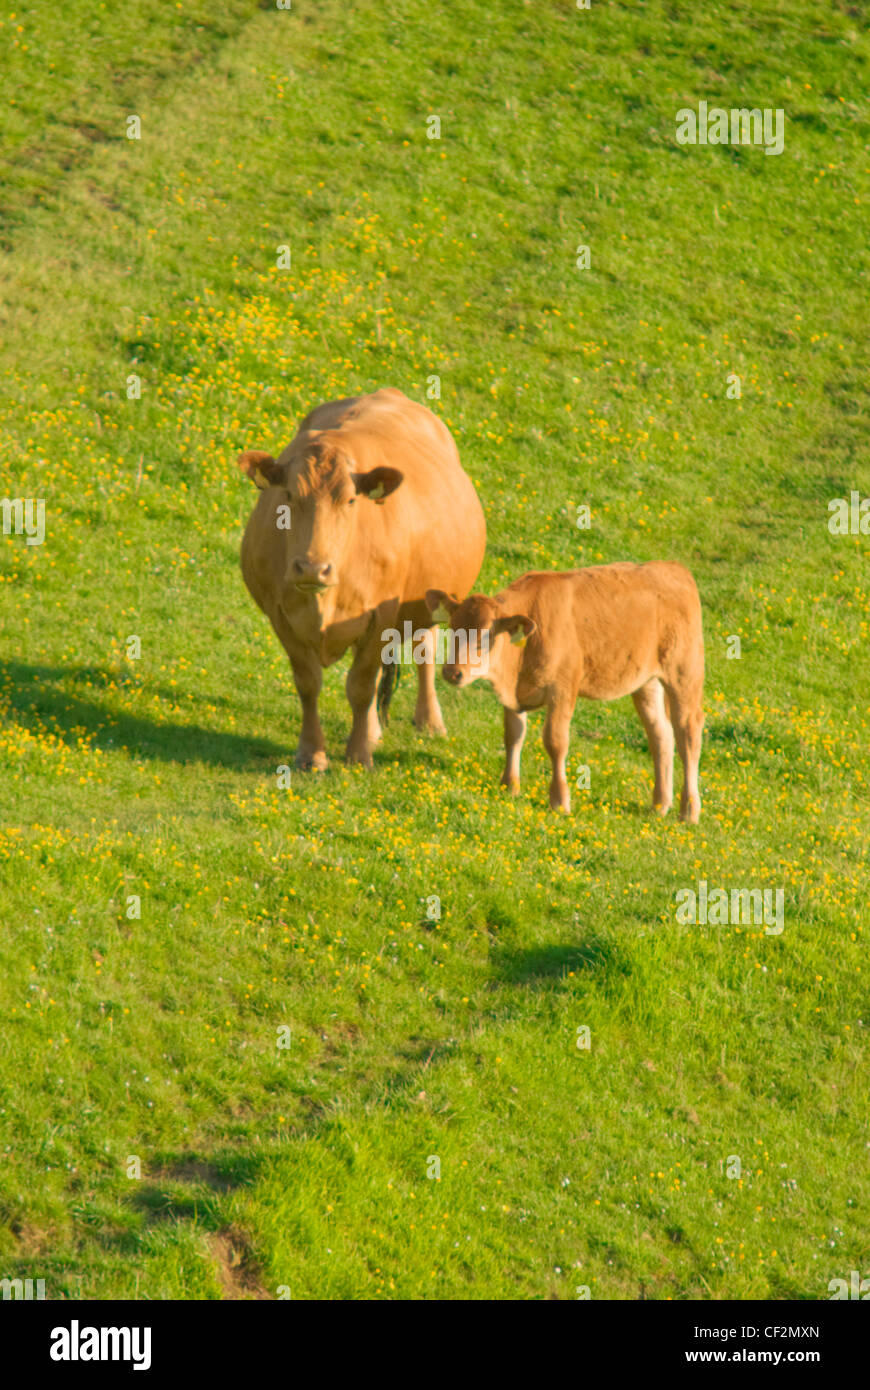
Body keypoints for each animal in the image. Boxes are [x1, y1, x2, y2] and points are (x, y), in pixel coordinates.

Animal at [239, 388, 486, 770]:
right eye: (289, 495)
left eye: (351, 500)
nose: (312, 568)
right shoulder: (280, 616)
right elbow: (308, 684)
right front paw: (312, 753)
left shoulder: (380, 616)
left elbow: (361, 686)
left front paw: (358, 756)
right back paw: (372, 731)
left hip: (426, 602)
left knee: (423, 650)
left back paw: (429, 721)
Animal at [426, 561, 705, 821]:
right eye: (452, 628)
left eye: (485, 636)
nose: (452, 672)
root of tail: (673, 568)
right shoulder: (514, 695)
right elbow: (513, 734)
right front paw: (509, 786)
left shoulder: (562, 689)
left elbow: (555, 741)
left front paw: (560, 800)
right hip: (647, 683)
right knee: (661, 734)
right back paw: (660, 805)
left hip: (684, 675)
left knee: (687, 734)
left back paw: (689, 810)